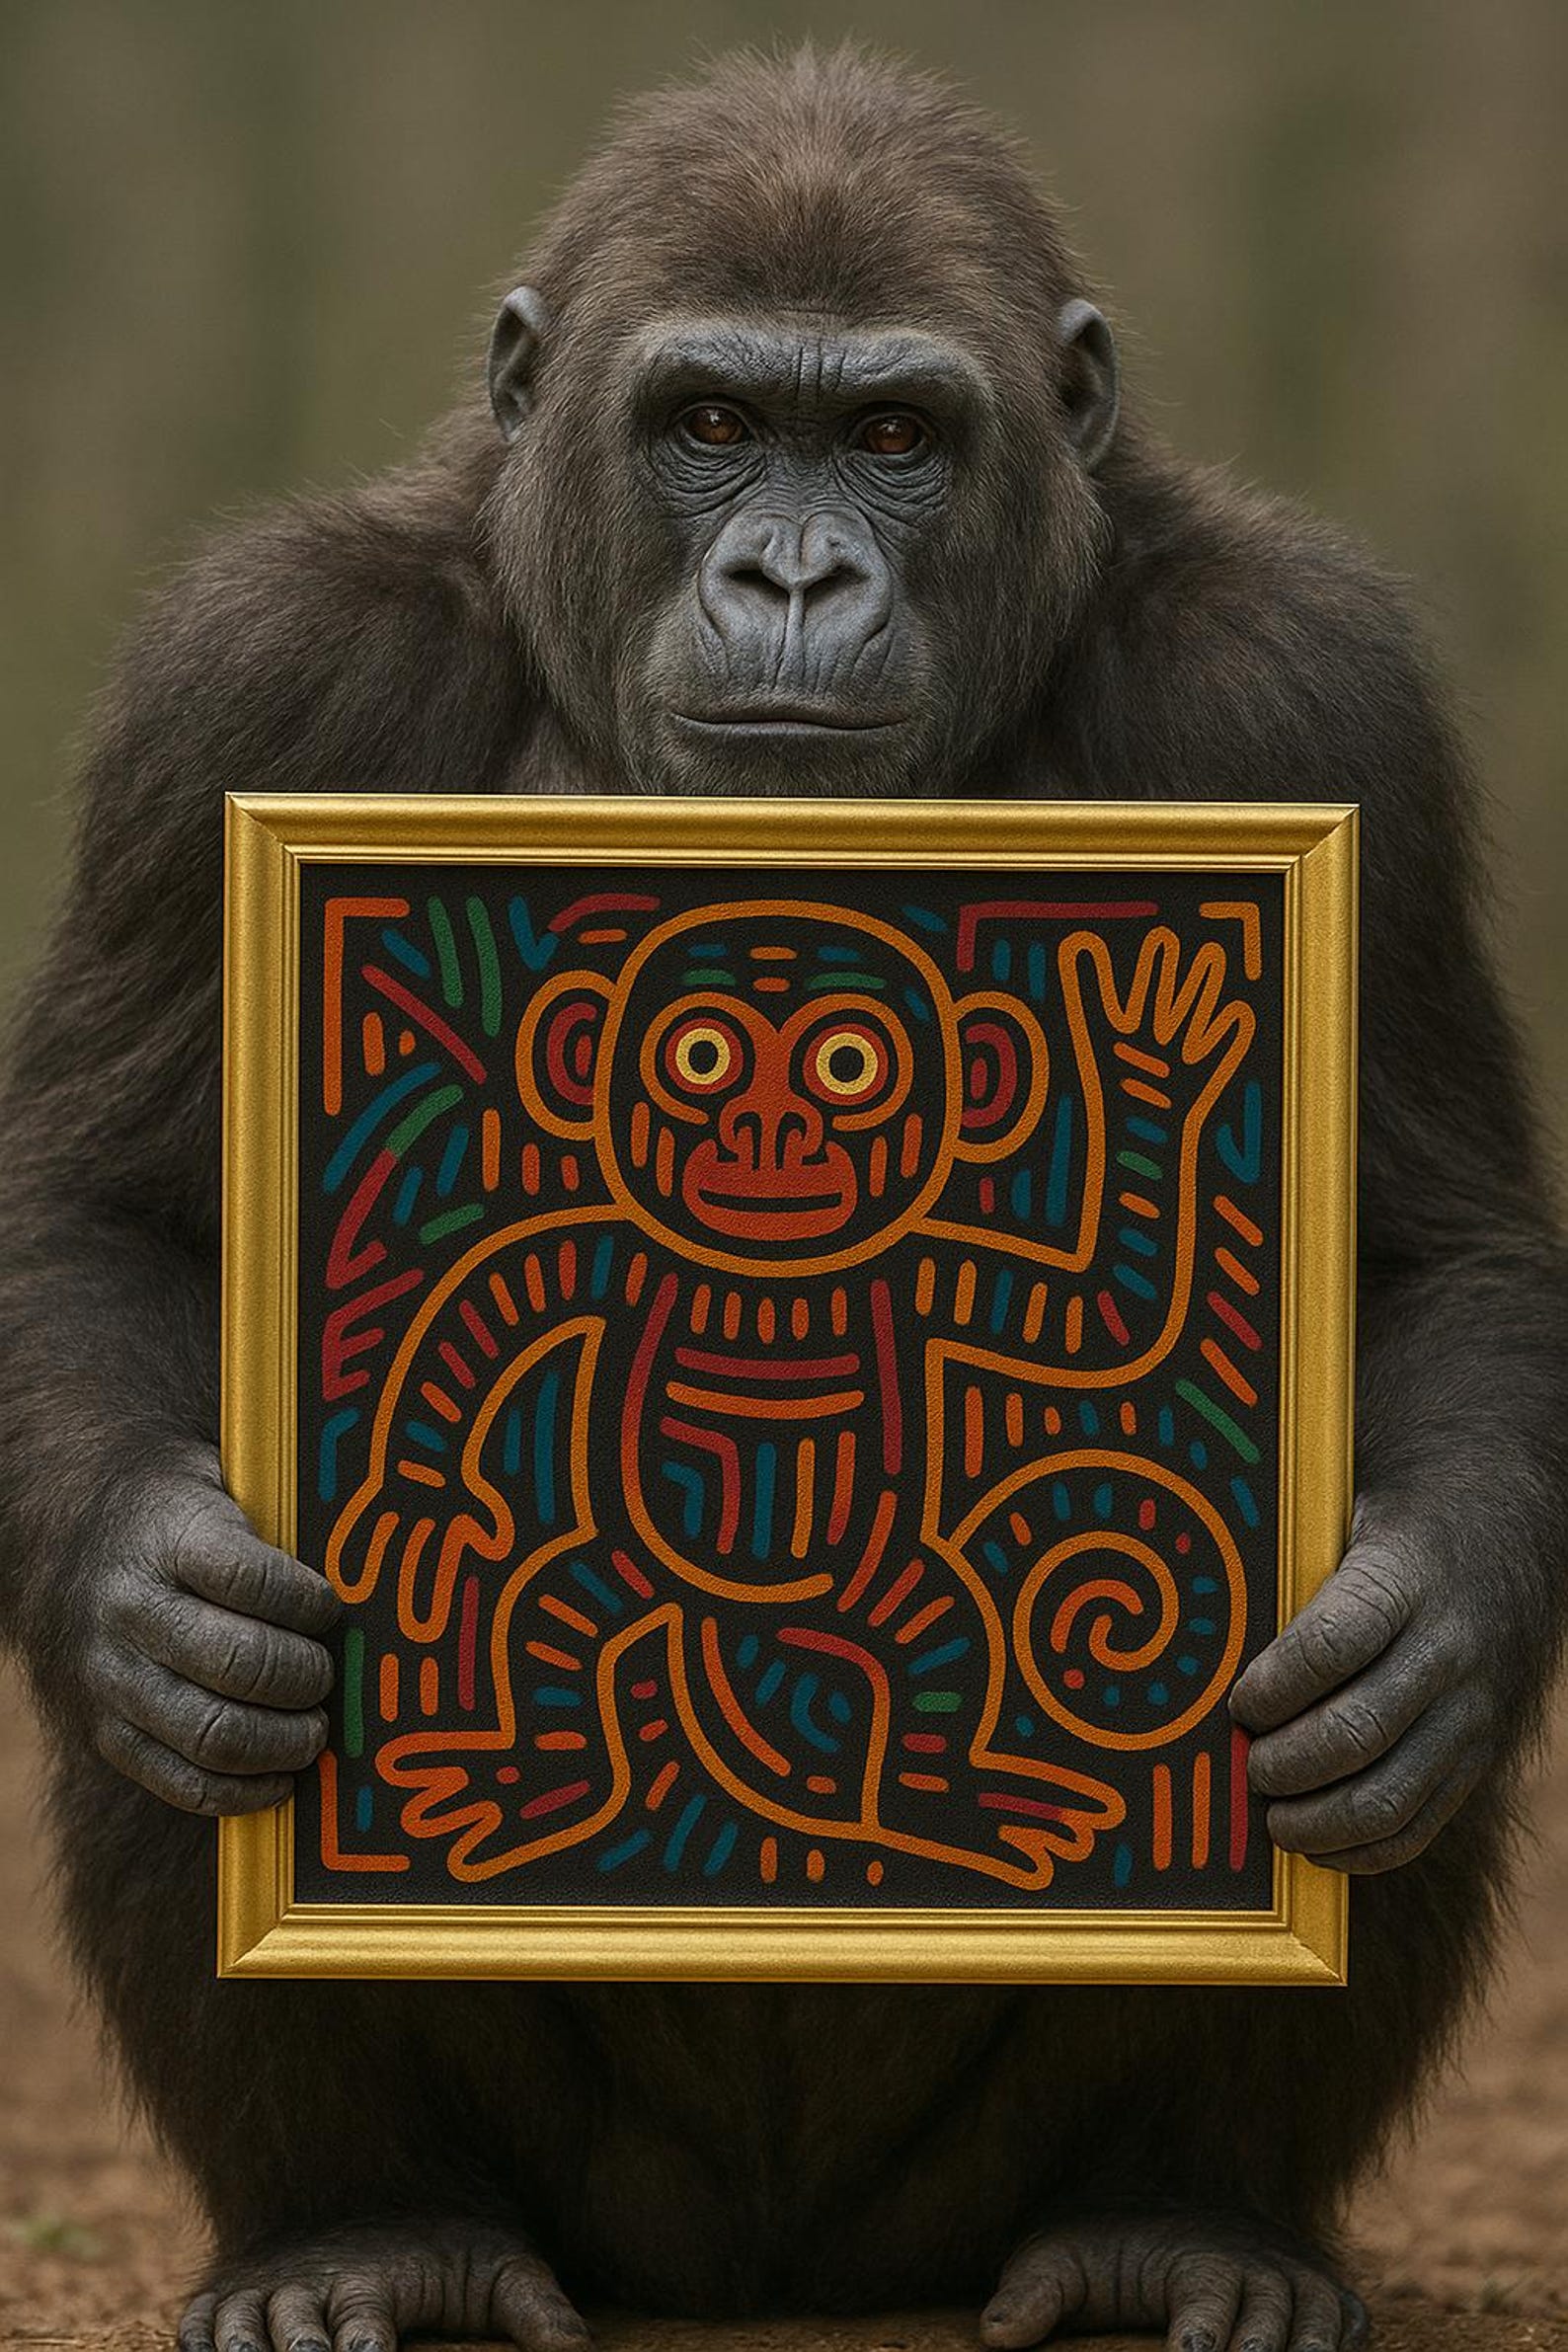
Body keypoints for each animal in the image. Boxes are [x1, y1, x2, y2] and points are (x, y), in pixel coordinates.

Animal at [2, 42, 1565, 2352]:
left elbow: (1423, 1248)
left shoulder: (1303, 691)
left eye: (896, 438)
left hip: (942, 2170)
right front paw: (158, 1584)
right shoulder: (248, 681)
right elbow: (101, 1211)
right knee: (226, 1757)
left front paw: (1415, 1617)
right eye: (715, 425)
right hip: (606, 2183)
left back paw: (1178, 2210)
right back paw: (362, 2222)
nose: (797, 580)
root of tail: (775, 2263)